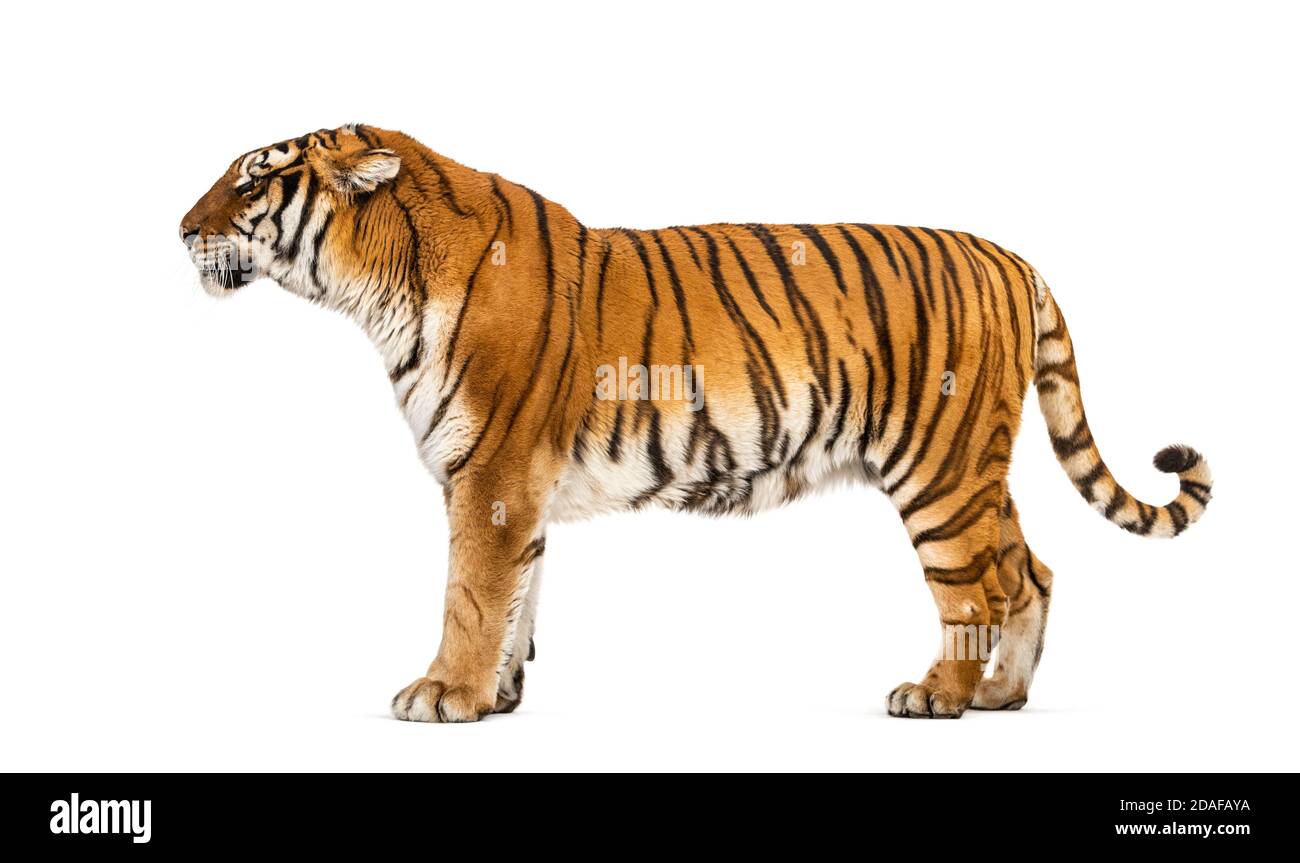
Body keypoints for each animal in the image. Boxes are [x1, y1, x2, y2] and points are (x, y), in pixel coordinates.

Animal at [180, 124, 1212, 721]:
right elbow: (519, 597)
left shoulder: (491, 475)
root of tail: (1012, 257)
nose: (181, 228)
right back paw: (1004, 692)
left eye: (250, 184)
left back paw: (938, 695)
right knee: (1031, 570)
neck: (378, 282)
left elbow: (471, 594)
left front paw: (443, 693)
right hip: (974, 469)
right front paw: (500, 696)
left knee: (973, 594)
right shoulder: (516, 485)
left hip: (942, 470)